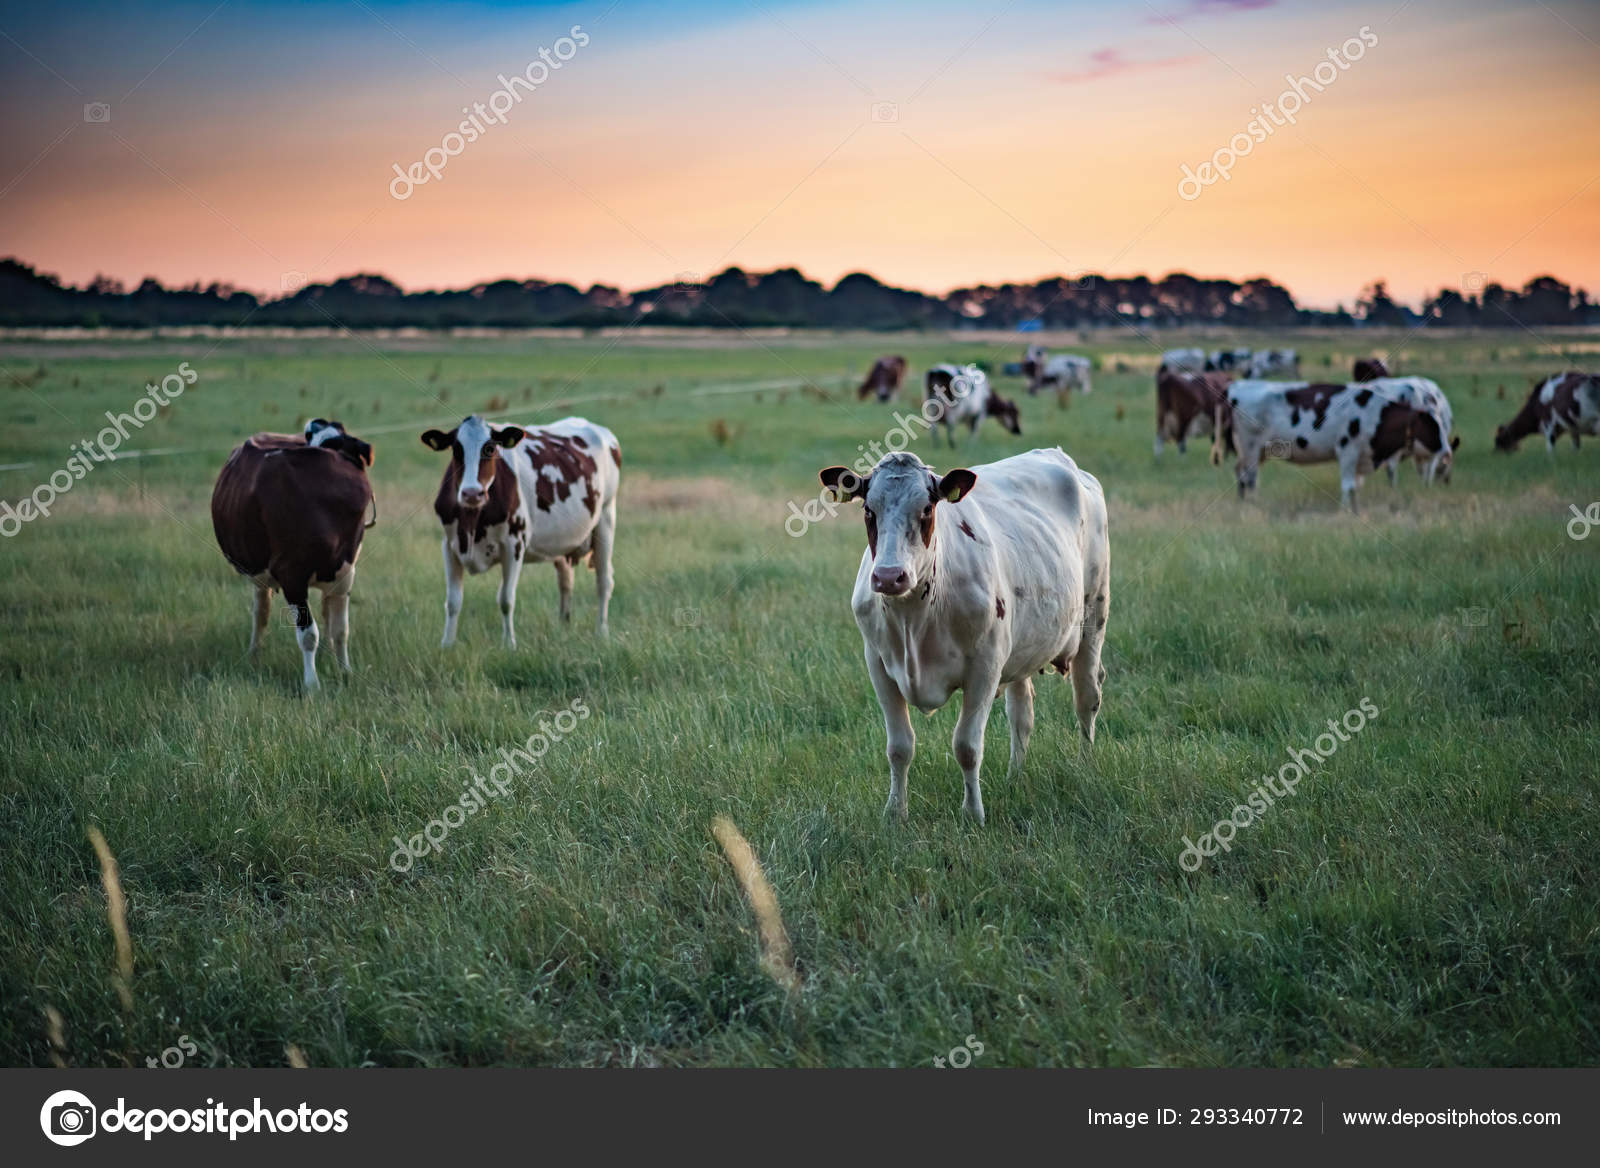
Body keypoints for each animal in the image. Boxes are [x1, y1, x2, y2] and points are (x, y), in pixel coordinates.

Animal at [210, 418, 375, 691]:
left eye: (336, 440)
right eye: (311, 440)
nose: (315, 422)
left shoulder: (346, 572)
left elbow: (341, 630)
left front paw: (346, 672)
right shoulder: (291, 574)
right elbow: (309, 635)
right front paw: (312, 684)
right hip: (258, 570)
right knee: (261, 613)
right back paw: (254, 655)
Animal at [421, 414, 620, 647]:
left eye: (491, 448)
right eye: (456, 449)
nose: (471, 493)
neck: (472, 523)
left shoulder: (514, 545)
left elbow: (506, 599)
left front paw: (509, 644)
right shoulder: (449, 546)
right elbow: (453, 601)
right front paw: (447, 645)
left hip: (606, 518)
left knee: (604, 582)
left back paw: (602, 632)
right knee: (566, 581)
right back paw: (564, 625)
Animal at [816, 448, 1109, 824]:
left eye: (927, 509)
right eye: (869, 509)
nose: (889, 576)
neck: (914, 616)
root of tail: (1055, 454)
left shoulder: (985, 666)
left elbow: (967, 746)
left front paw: (973, 813)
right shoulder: (878, 663)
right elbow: (899, 747)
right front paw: (895, 813)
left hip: (1094, 613)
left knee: (1087, 696)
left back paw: (1085, 767)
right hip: (1022, 647)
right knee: (1022, 713)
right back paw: (1015, 777)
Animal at [1229, 378, 1457, 510]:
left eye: (1441, 424)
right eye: (1431, 427)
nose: (1447, 453)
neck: (1376, 414)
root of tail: (1237, 387)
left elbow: (1355, 487)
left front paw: (1355, 510)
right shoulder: (1348, 450)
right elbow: (1348, 487)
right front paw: (1346, 511)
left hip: (1258, 451)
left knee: (1241, 474)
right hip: (1250, 447)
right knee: (1250, 479)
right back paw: (1253, 503)